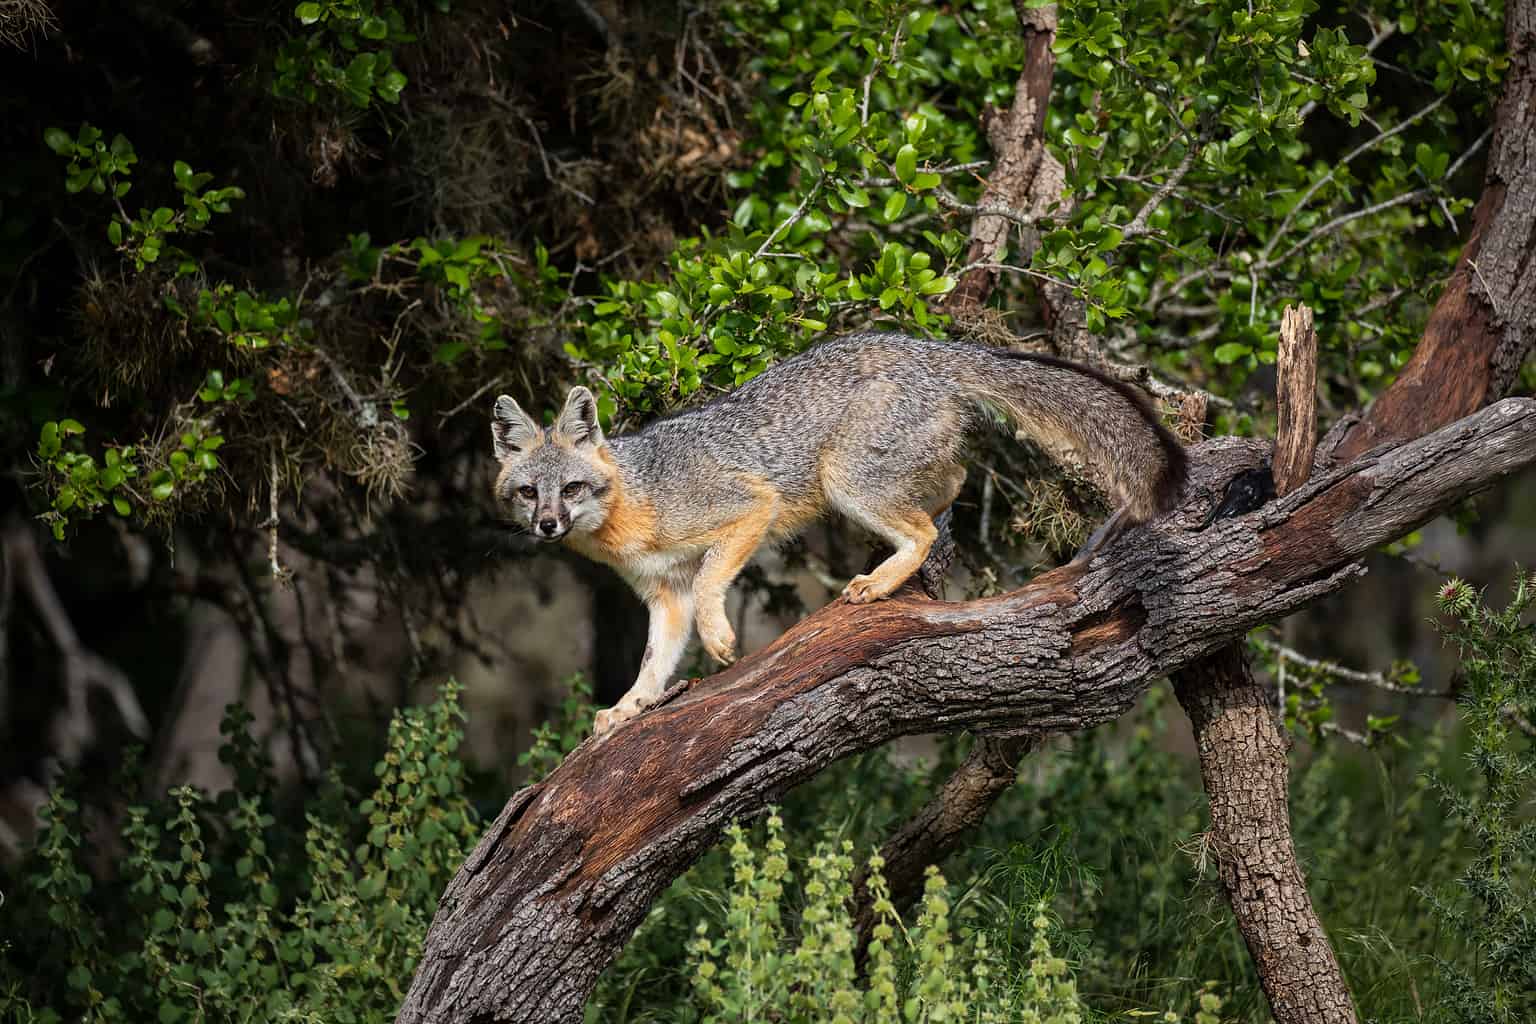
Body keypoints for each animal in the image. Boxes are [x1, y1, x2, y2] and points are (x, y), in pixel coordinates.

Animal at [491, 331, 1188, 736]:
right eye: (529, 493)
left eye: (571, 490)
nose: (547, 525)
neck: (636, 502)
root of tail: (935, 348)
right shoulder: (664, 597)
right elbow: (652, 665)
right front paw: (631, 708)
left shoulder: (749, 507)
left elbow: (715, 577)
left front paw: (721, 639)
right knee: (956, 477)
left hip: (846, 482)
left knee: (923, 526)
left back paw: (879, 584)